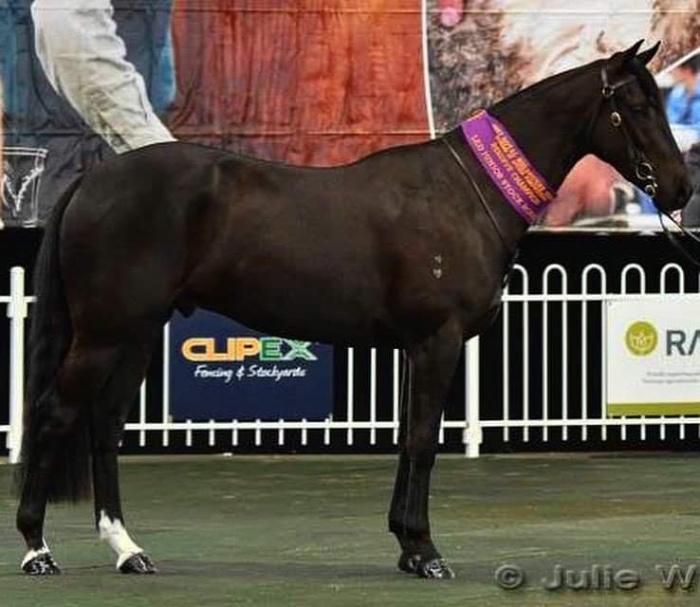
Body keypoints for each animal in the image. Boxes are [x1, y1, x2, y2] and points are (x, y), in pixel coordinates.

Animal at [15, 40, 691, 578]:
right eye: (635, 106)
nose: (681, 187)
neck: (465, 194)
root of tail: (92, 181)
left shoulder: (415, 348)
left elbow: (406, 440)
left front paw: (406, 545)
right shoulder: (437, 342)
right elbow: (423, 441)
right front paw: (425, 552)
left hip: (135, 335)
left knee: (103, 424)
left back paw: (128, 550)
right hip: (104, 333)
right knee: (54, 414)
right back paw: (37, 549)